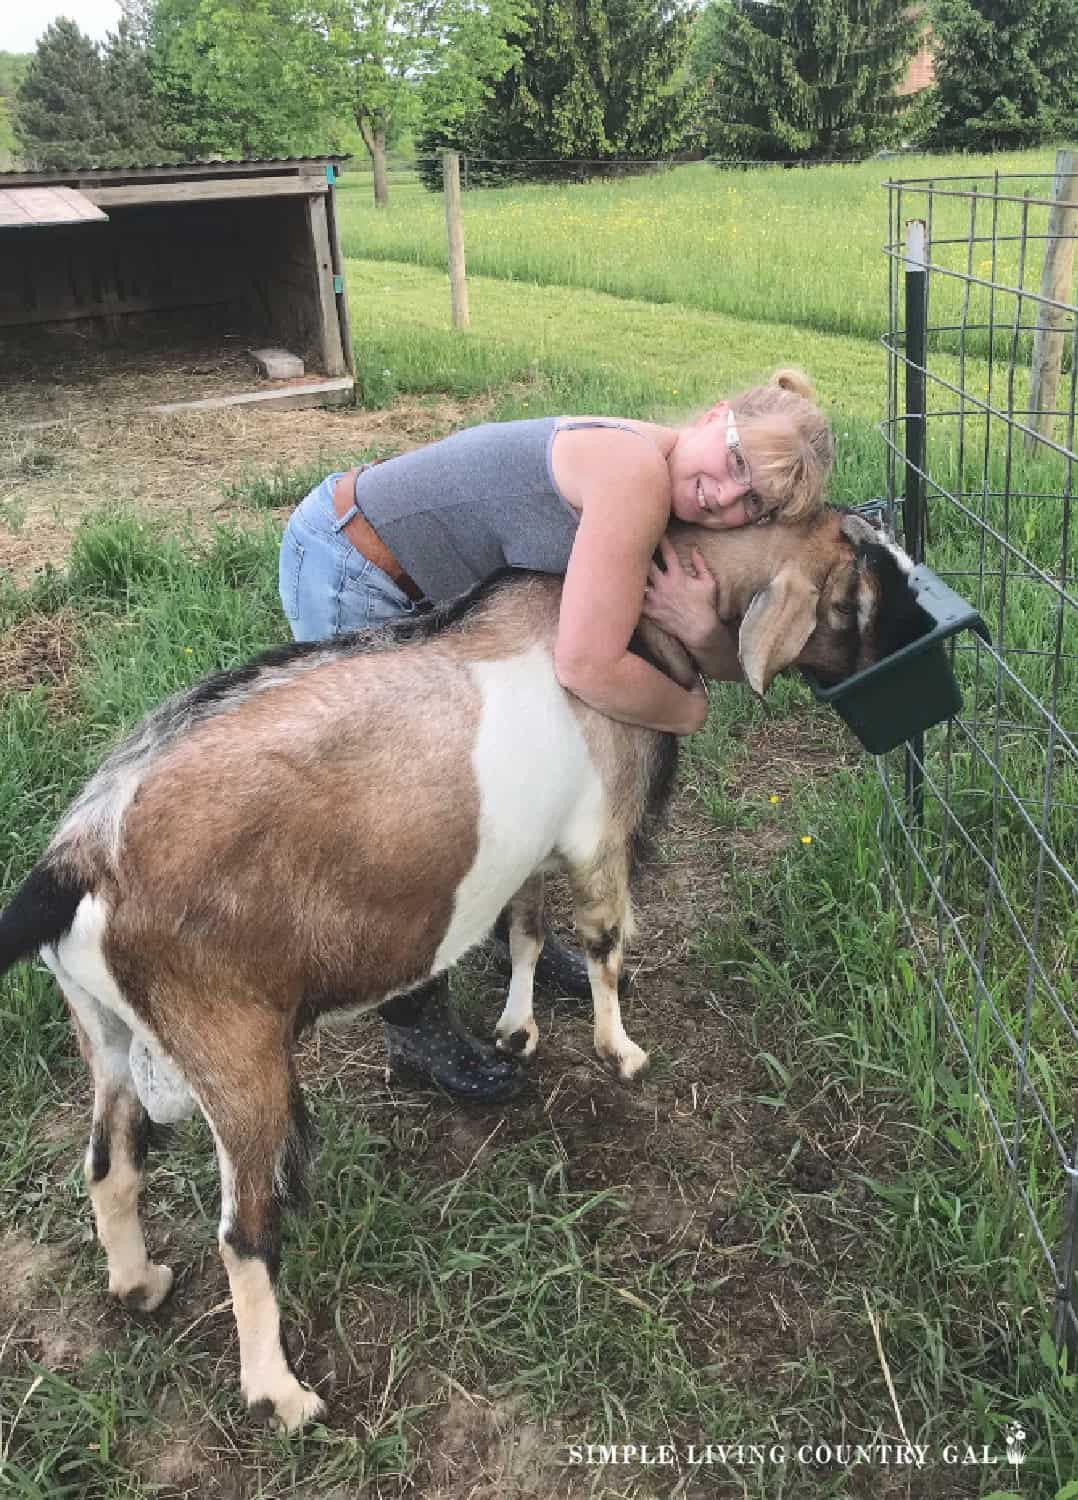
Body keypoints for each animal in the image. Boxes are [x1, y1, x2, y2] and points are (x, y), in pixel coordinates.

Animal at [0, 509, 922, 1429]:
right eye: (867, 590)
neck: (629, 621)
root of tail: (77, 861)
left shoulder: (527, 850)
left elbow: (525, 932)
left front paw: (517, 1031)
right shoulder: (601, 839)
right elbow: (603, 945)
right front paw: (620, 1051)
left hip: (106, 1032)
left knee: (110, 1165)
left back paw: (140, 1284)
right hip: (235, 1053)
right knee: (244, 1231)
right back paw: (282, 1394)